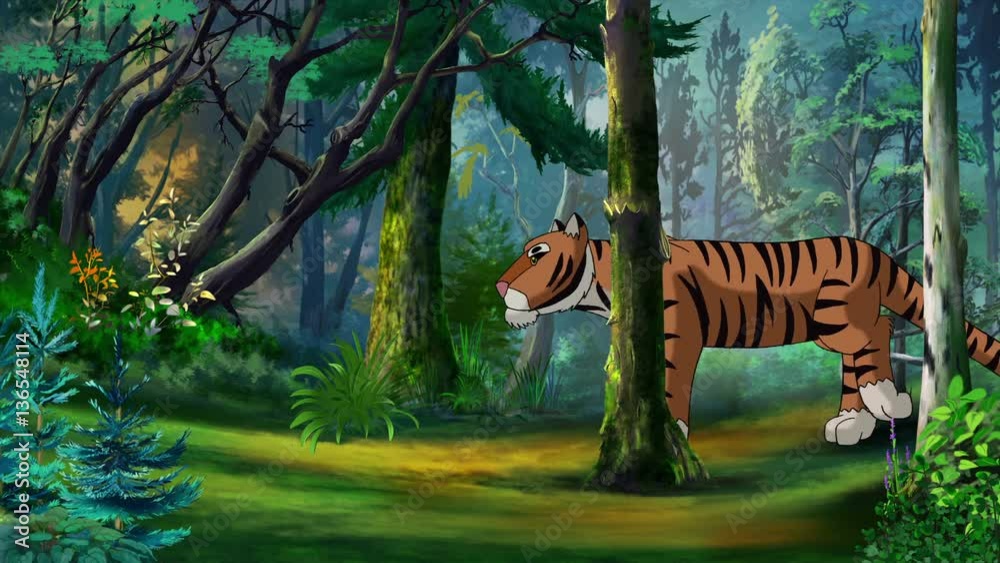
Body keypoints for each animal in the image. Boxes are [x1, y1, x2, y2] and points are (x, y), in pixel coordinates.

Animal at [495, 213, 1000, 445]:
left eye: (537, 253)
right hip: (833, 323)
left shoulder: (680, 333)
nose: (500, 285)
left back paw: (886, 399)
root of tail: (870, 249)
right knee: (861, 349)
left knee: (878, 331)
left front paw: (674, 429)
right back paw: (851, 422)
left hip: (836, 316)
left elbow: (673, 380)